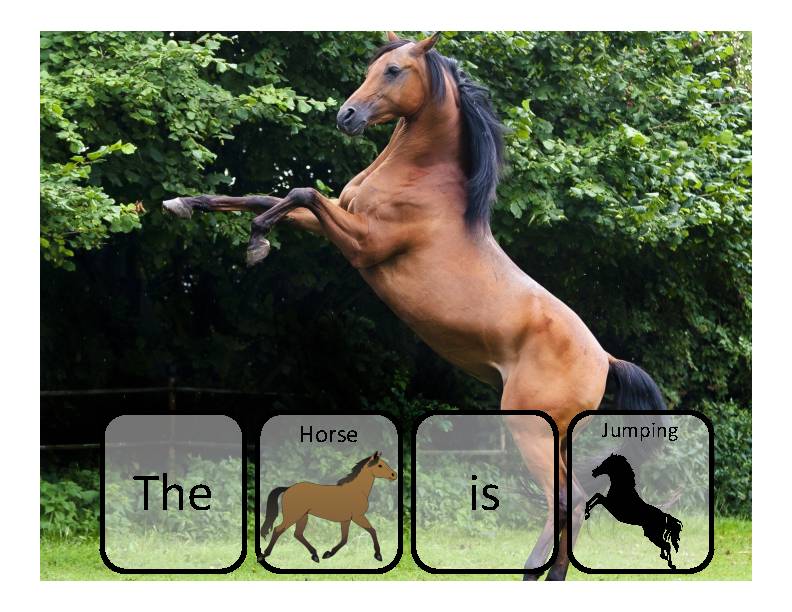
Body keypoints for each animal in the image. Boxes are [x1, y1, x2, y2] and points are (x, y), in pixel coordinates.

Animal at [258, 451, 397, 564]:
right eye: (380, 465)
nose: (394, 474)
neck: (357, 490)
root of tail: (288, 488)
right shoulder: (358, 517)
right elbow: (372, 530)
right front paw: (378, 555)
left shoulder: (346, 520)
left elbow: (344, 539)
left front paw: (327, 554)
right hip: (293, 515)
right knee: (278, 530)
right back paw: (265, 554)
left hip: (303, 516)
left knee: (298, 534)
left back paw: (315, 556)